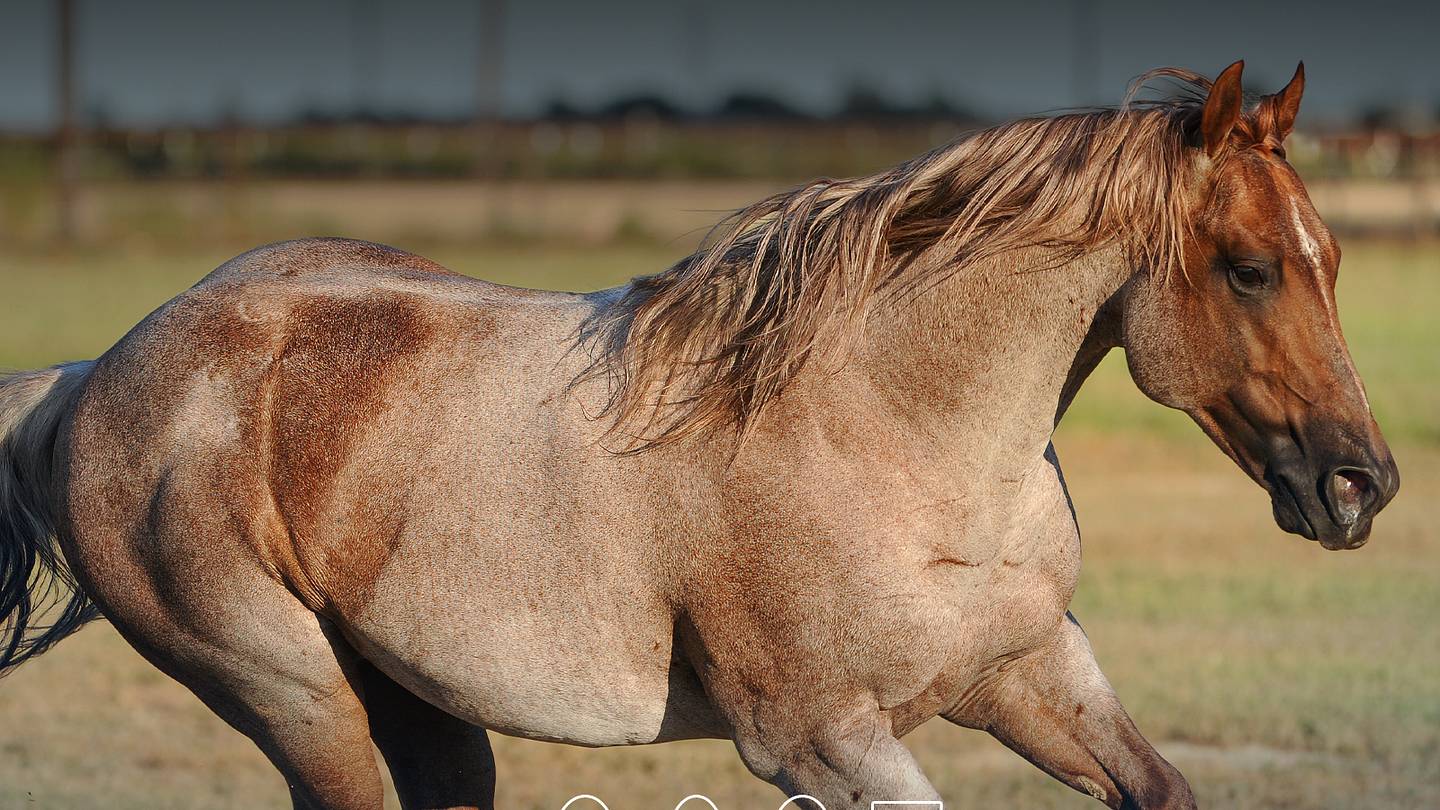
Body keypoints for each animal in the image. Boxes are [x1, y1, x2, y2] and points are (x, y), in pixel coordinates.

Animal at [0, 61, 1398, 810]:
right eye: (1253, 269)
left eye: (1334, 259)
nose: (1361, 485)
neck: (900, 438)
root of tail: (96, 376)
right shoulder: (818, 739)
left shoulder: (1030, 673)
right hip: (298, 701)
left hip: (423, 710)